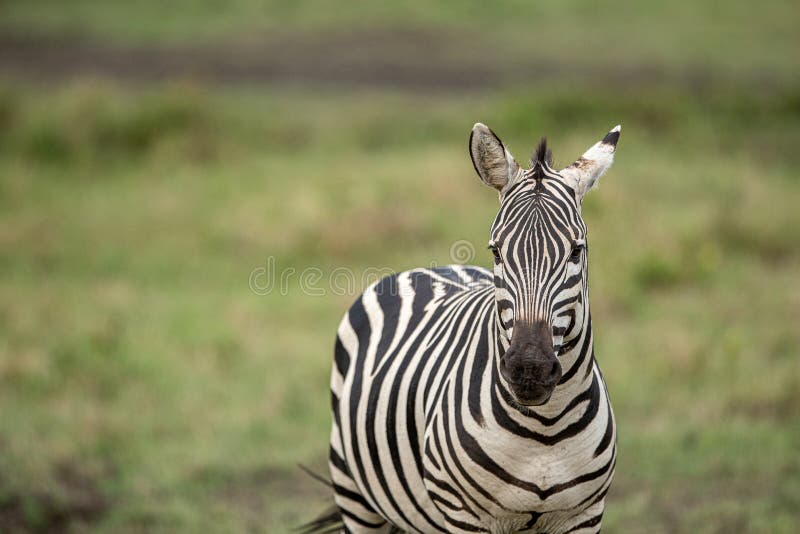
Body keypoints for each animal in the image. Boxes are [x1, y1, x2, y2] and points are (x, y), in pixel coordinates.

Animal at [313, 123, 621, 534]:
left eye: (576, 250)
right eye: (496, 251)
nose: (529, 369)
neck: (546, 429)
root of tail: (433, 268)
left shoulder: (584, 516)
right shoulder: (463, 516)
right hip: (354, 493)